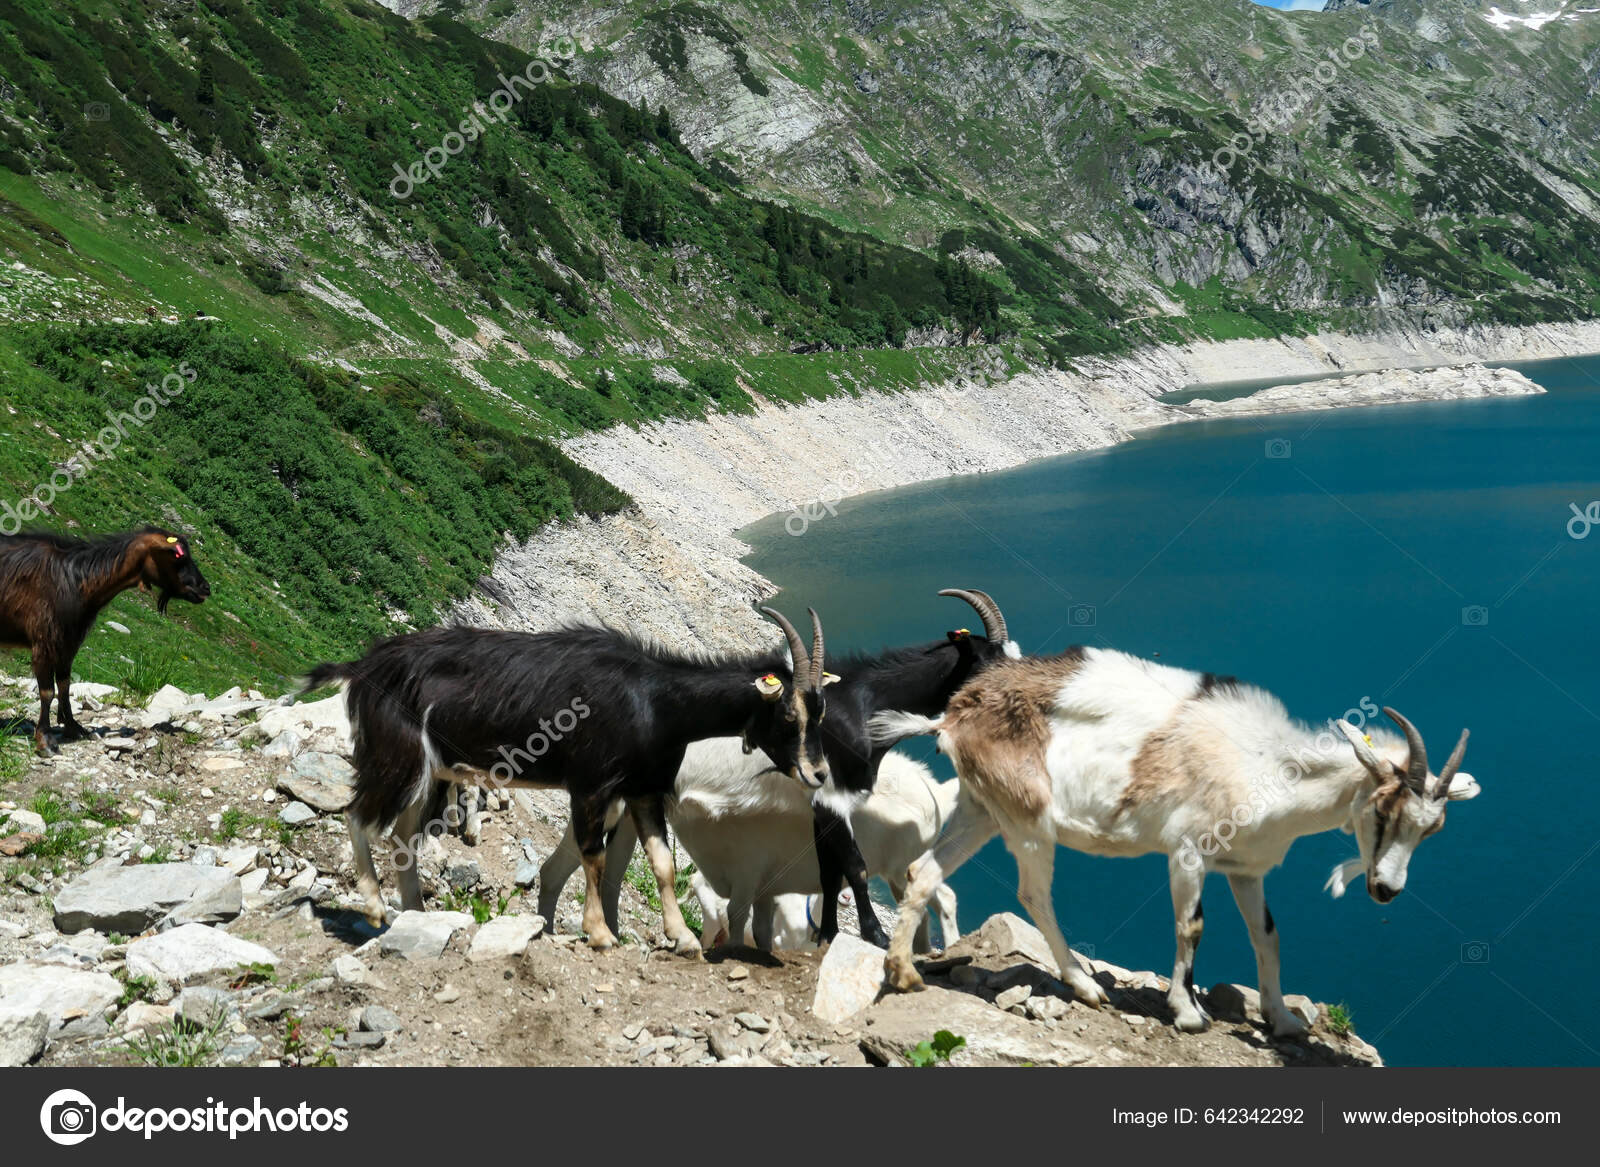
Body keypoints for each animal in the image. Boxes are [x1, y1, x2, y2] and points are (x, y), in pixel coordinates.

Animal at [0, 529, 210, 754]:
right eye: (177, 557)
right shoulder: (43, 642)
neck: (76, 581)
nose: (206, 588)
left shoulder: (68, 643)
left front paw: (73, 727)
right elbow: (47, 692)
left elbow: (65, 685)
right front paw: (45, 739)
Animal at [304, 607, 833, 954]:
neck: (655, 702)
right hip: (397, 757)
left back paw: (414, 912)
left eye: (821, 711)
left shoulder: (642, 791)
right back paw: (375, 908)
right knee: (357, 815)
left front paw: (681, 937)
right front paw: (599, 933)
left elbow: (662, 863)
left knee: (401, 836)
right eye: (788, 715)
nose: (819, 773)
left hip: (430, 775)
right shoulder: (592, 786)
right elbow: (593, 857)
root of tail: (362, 666)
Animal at [871, 647, 1480, 1038]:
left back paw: (903, 974)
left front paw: (1283, 1021)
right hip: (1027, 821)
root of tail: (952, 717)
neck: (1267, 769)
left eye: (1433, 828)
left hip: (981, 810)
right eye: (1381, 808)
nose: (1386, 889)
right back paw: (1085, 987)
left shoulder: (1246, 869)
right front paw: (1188, 1013)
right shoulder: (1189, 851)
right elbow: (1193, 926)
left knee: (924, 872)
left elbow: (1268, 936)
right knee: (1034, 894)